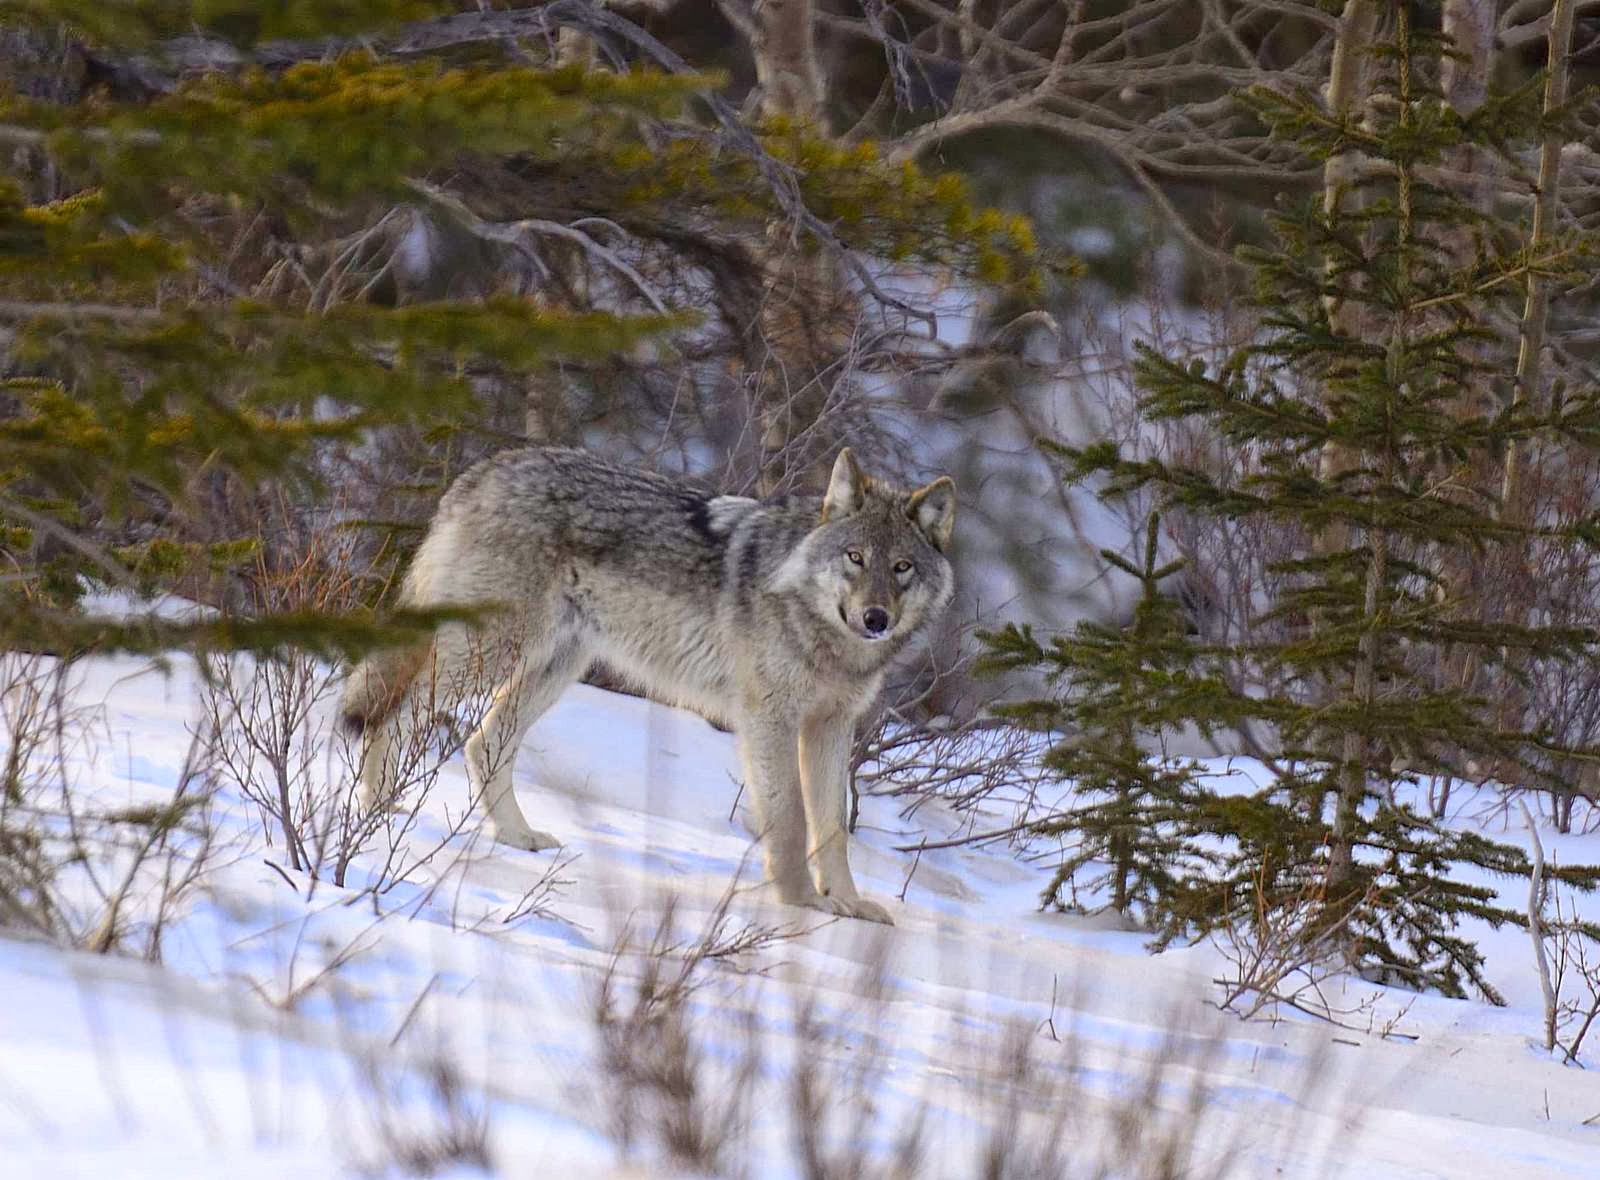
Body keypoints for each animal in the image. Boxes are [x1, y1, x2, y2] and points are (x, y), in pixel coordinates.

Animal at [339, 446, 955, 924]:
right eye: (855, 558)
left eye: (901, 567)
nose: (875, 619)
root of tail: (482, 470)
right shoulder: (770, 719)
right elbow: (790, 821)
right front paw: (800, 904)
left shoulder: (831, 727)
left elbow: (833, 829)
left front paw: (848, 905)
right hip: (490, 656)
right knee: (393, 713)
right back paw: (376, 807)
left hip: (555, 668)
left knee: (481, 743)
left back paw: (518, 837)